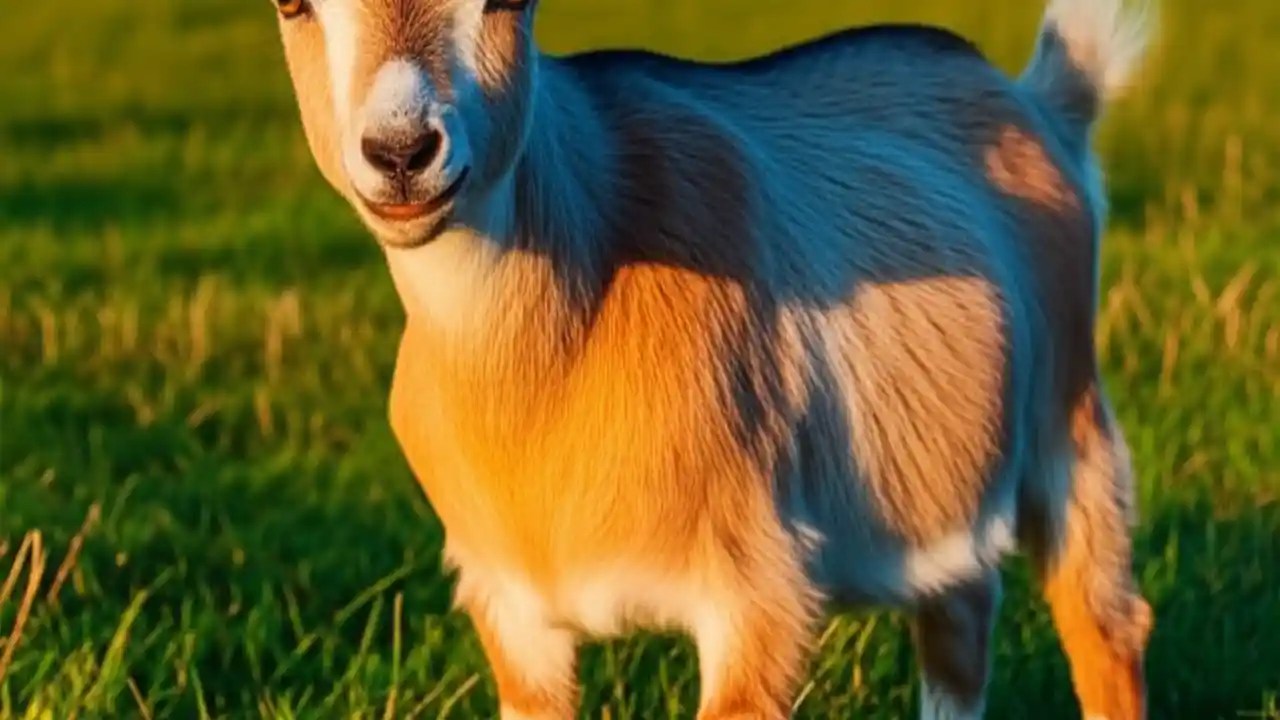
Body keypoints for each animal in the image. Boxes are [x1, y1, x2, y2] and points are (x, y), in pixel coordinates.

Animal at [270, 0, 1155, 717]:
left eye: (512, 0)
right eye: (291, 3)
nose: (401, 151)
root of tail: (1040, 104)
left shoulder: (756, 592)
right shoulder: (511, 611)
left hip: (1070, 418)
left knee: (1105, 620)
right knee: (961, 617)